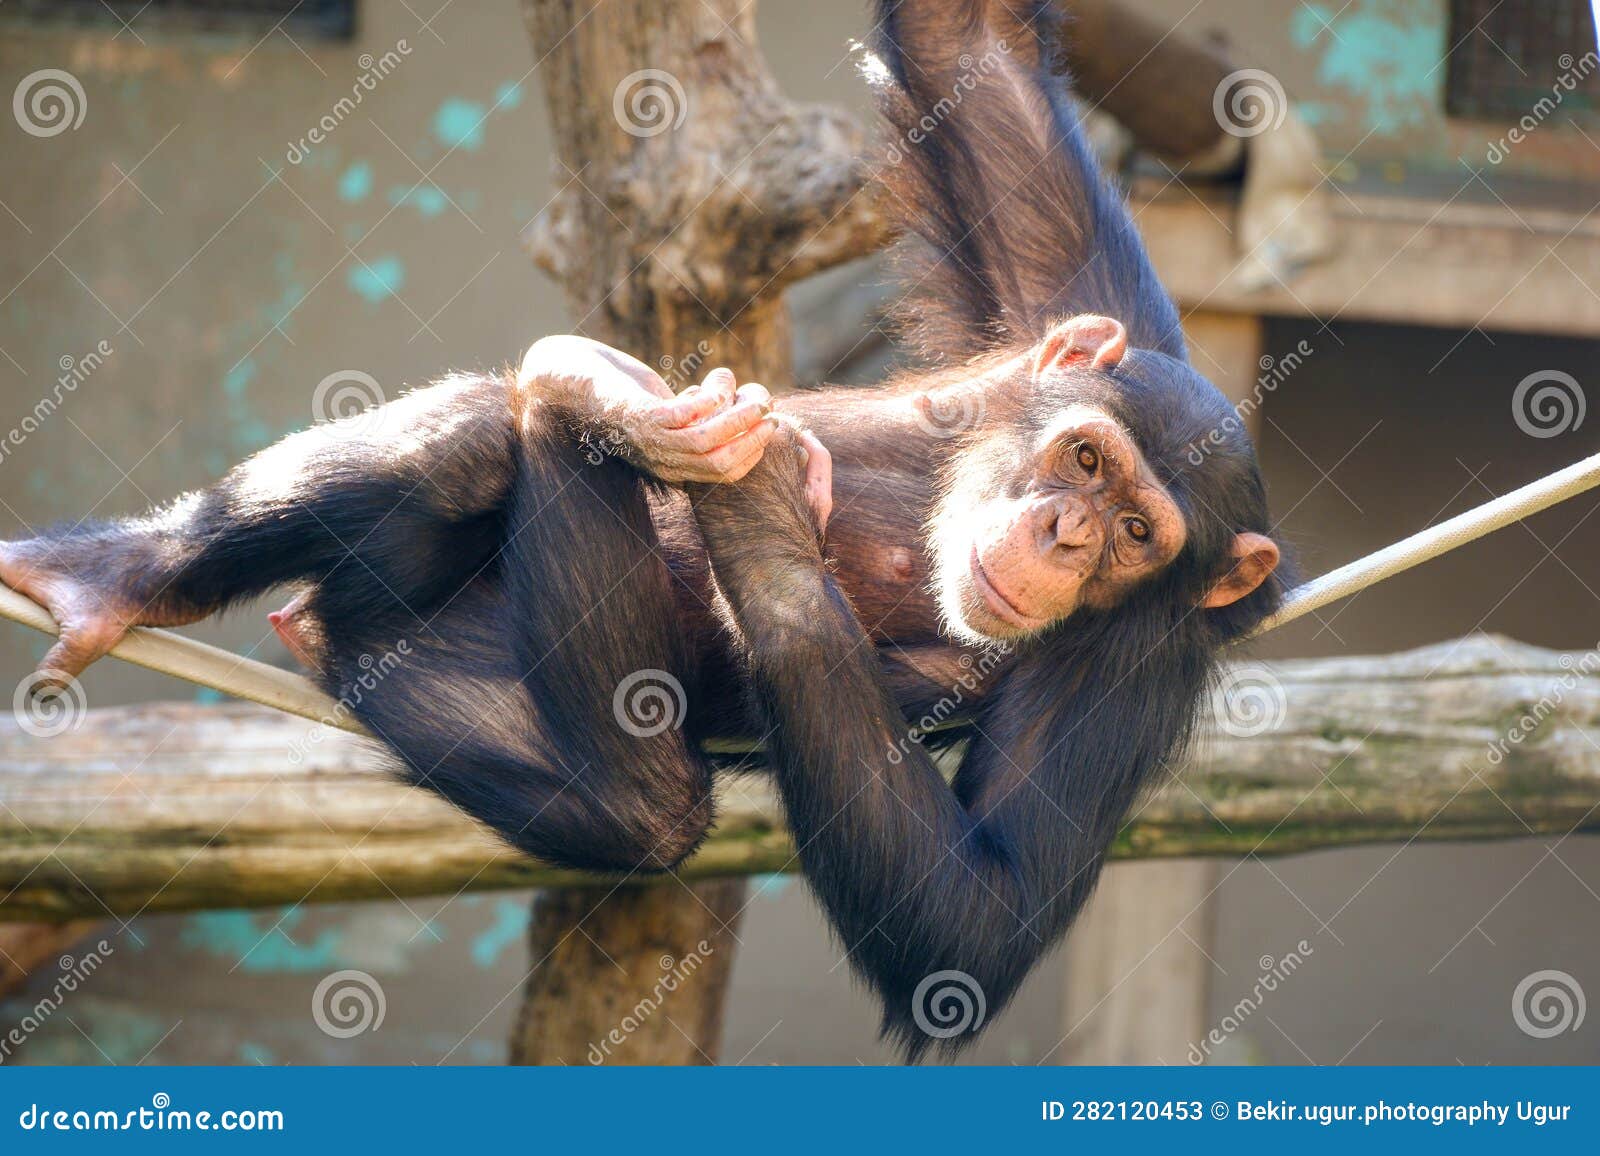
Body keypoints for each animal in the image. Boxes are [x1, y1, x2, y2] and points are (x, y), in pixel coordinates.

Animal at [0, 0, 1285, 1059]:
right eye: (1085, 457)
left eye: (1136, 530)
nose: (1068, 529)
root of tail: (337, 636)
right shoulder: (1082, 311)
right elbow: (965, 47)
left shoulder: (1140, 665)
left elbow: (974, 926)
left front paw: (766, 518)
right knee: (473, 439)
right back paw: (124, 576)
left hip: (449, 702)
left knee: (650, 808)